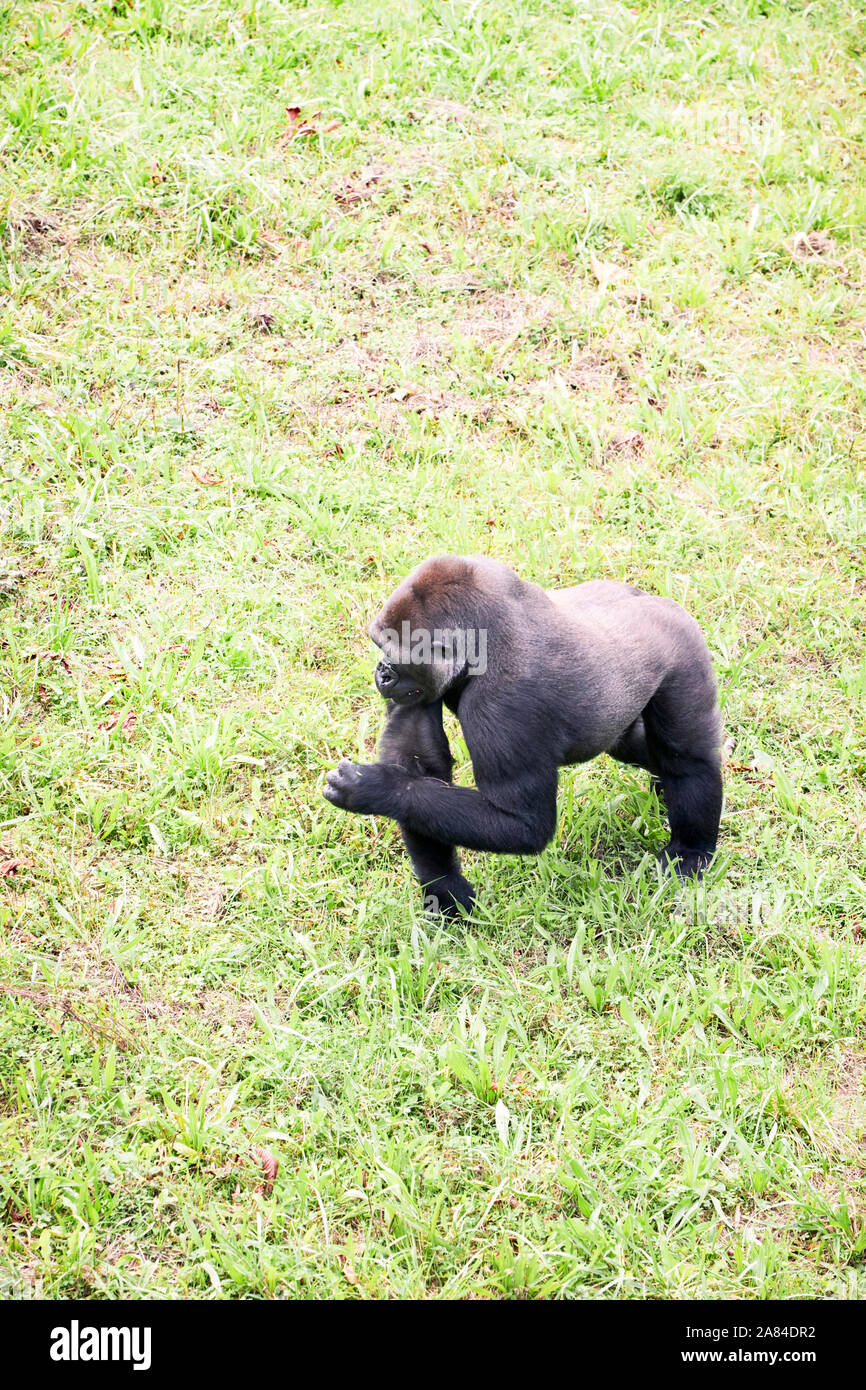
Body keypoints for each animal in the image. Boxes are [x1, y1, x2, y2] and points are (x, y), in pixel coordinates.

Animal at [324, 555, 723, 915]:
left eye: (393, 655)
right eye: (380, 648)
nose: (382, 673)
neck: (484, 638)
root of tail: (659, 601)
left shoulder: (503, 702)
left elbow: (522, 824)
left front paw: (376, 788)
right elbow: (417, 769)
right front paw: (446, 892)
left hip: (684, 651)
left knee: (685, 759)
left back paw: (691, 851)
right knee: (633, 744)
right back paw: (661, 784)